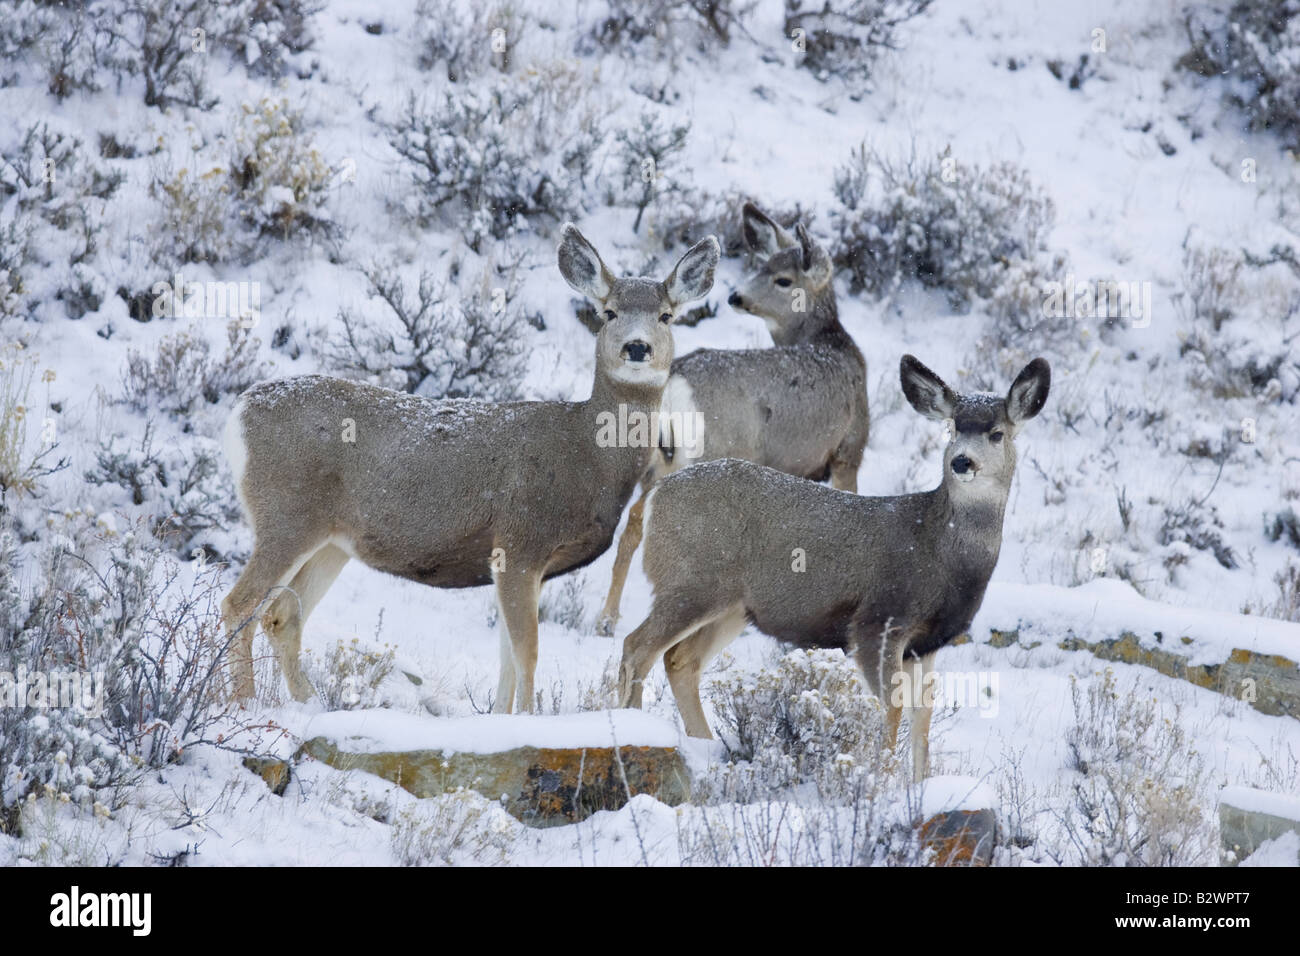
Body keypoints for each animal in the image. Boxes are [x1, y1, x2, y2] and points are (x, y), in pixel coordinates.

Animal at [220, 225, 720, 710]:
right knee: (238, 605)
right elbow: (527, 654)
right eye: (610, 312)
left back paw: (309, 705)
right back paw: (245, 704)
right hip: (286, 515)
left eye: (667, 315)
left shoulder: (525, 565)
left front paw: (501, 721)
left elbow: (507, 659)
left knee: (282, 615)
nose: (637, 347)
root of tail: (240, 412)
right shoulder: (520, 541)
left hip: (332, 541)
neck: (589, 457)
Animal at [594, 202, 869, 637]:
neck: (831, 344)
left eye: (780, 277)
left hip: (655, 458)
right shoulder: (848, 449)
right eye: (767, 270)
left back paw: (607, 618)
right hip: (704, 454)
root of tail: (672, 383)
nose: (736, 295)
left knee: (634, 521)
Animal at [615, 354, 1051, 779]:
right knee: (638, 647)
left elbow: (923, 716)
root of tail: (656, 497)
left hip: (731, 607)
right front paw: (881, 780)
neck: (937, 549)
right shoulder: (877, 623)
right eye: (953, 427)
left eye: (997, 433)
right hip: (689, 583)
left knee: (679, 660)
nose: (962, 461)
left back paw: (705, 747)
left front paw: (920, 785)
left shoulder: (925, 643)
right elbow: (891, 708)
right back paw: (633, 730)